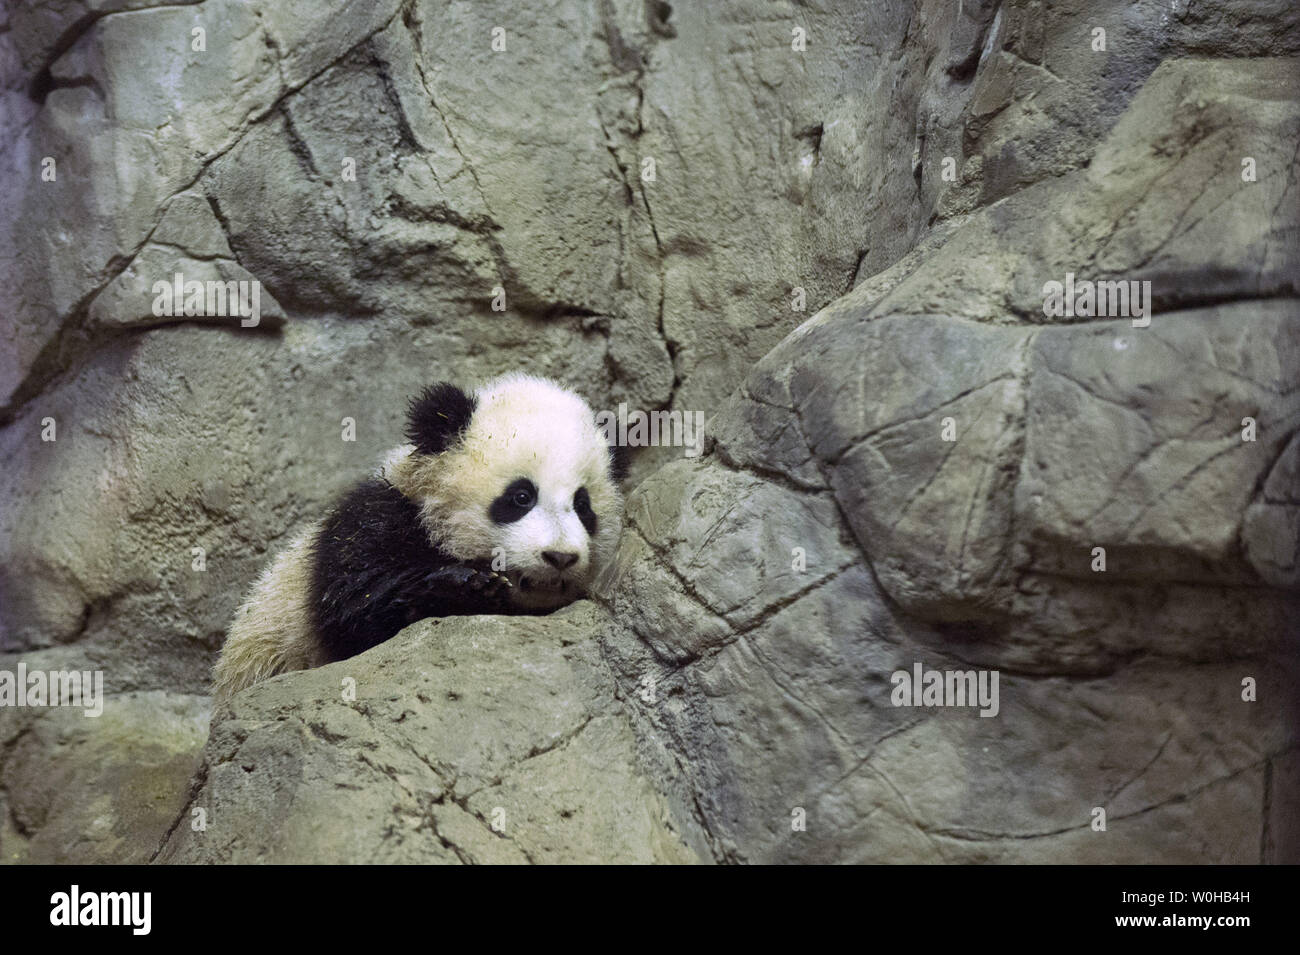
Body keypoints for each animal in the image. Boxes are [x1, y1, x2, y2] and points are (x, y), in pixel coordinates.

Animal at [212, 373, 627, 703]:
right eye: (521, 496)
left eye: (583, 505)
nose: (559, 557)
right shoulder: (372, 521)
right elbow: (354, 606)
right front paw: (465, 585)